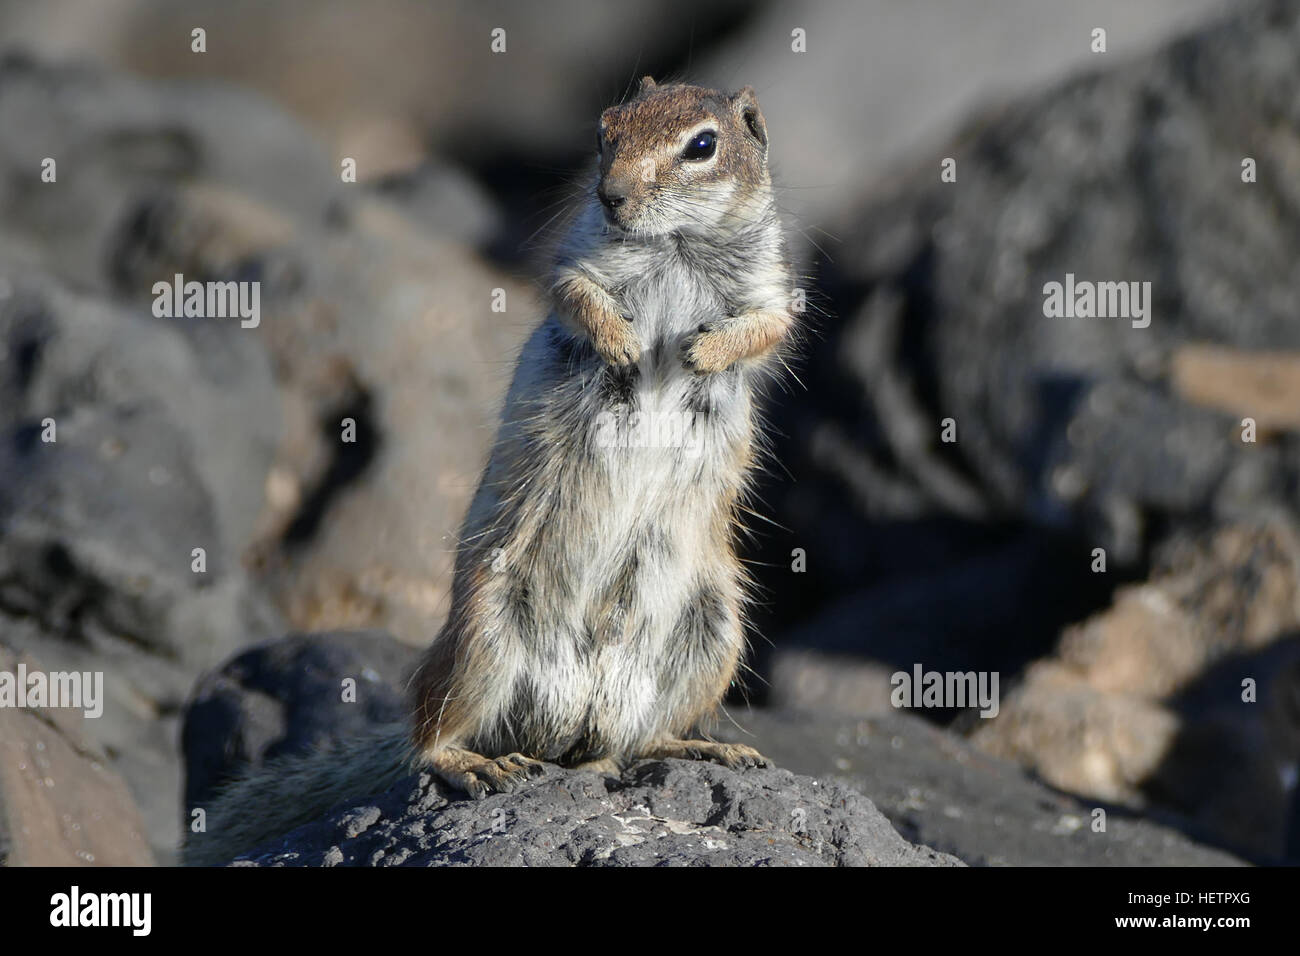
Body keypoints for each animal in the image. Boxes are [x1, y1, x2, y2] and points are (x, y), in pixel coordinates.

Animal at [184, 76, 798, 865]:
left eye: (702, 145)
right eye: (606, 129)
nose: (611, 197)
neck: (677, 246)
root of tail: (572, 725)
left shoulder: (770, 286)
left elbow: (765, 326)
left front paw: (702, 352)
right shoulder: (577, 262)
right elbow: (577, 296)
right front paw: (623, 344)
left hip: (713, 627)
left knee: (638, 743)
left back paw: (699, 747)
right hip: (483, 628)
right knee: (427, 739)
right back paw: (473, 762)